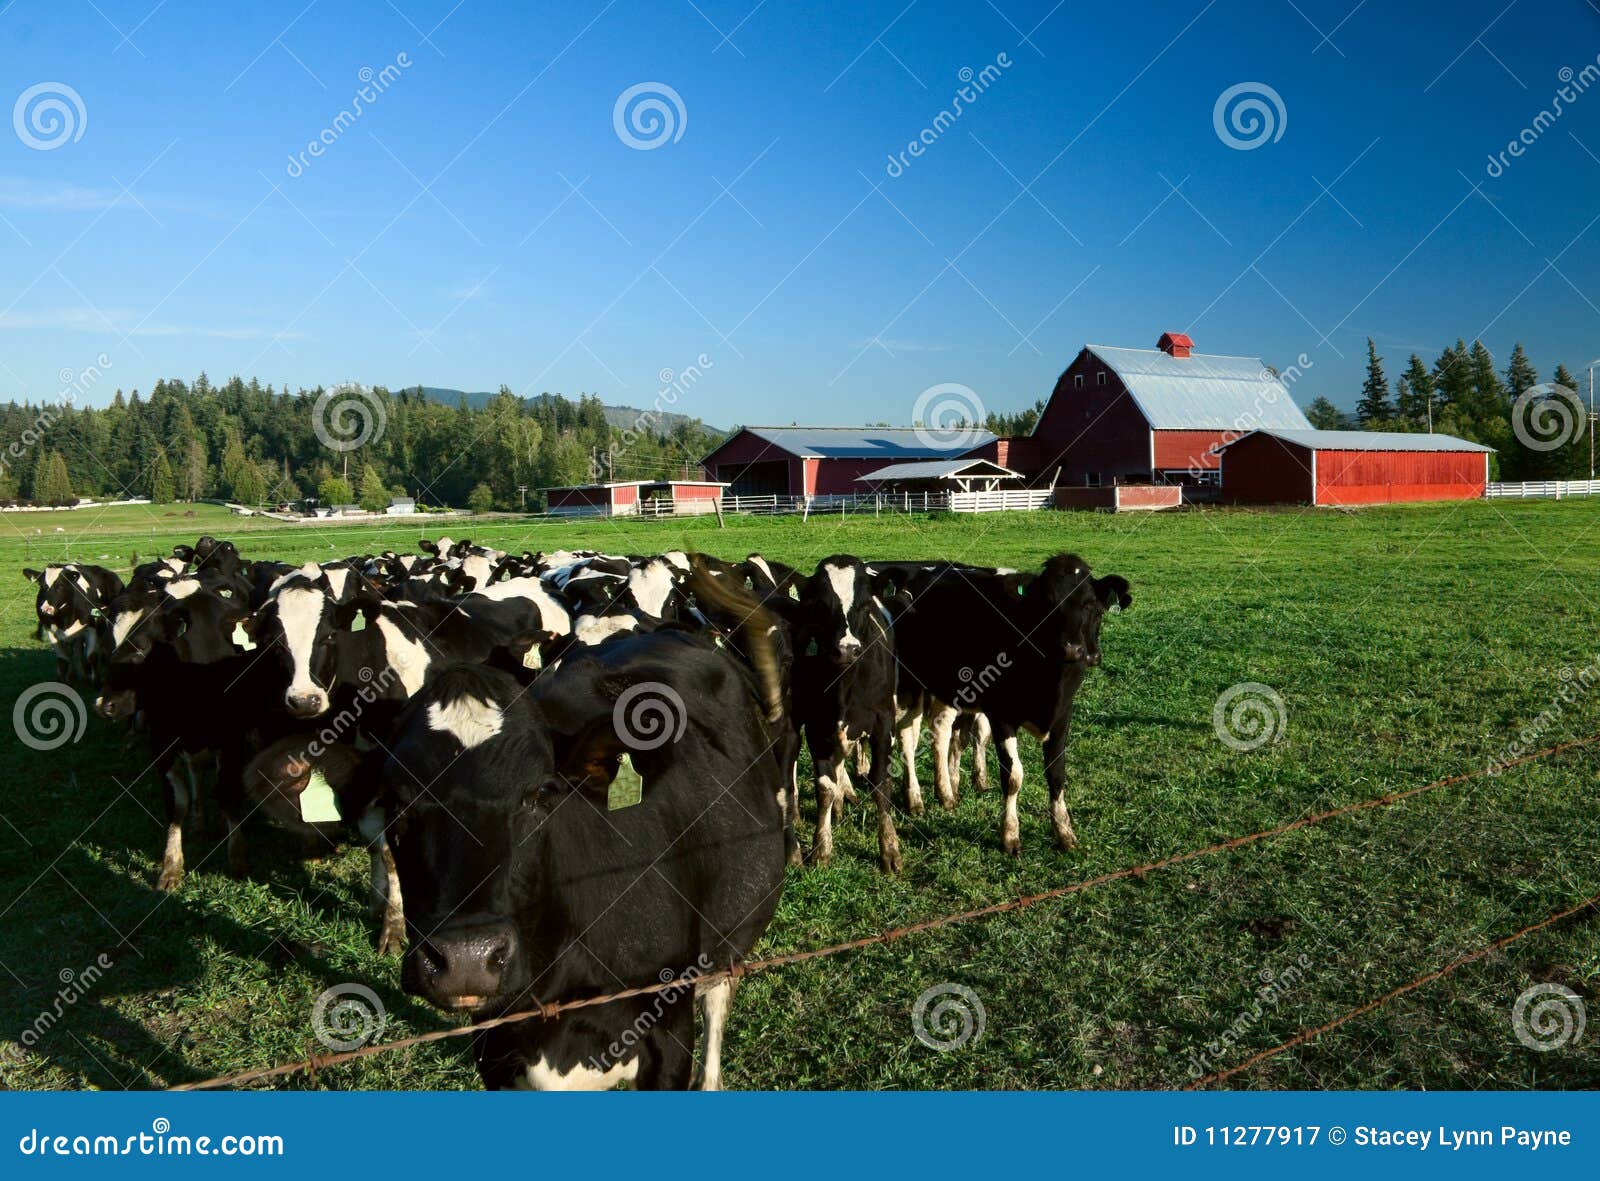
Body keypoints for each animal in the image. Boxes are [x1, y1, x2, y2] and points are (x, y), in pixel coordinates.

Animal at [890, 553, 1130, 854]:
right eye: (1047, 604)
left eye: (1090, 604)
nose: (1071, 649)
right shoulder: (1001, 715)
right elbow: (1013, 776)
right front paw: (1010, 835)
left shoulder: (1063, 715)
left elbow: (1057, 774)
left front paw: (1064, 833)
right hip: (907, 684)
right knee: (908, 739)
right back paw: (915, 799)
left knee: (941, 732)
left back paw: (946, 793)